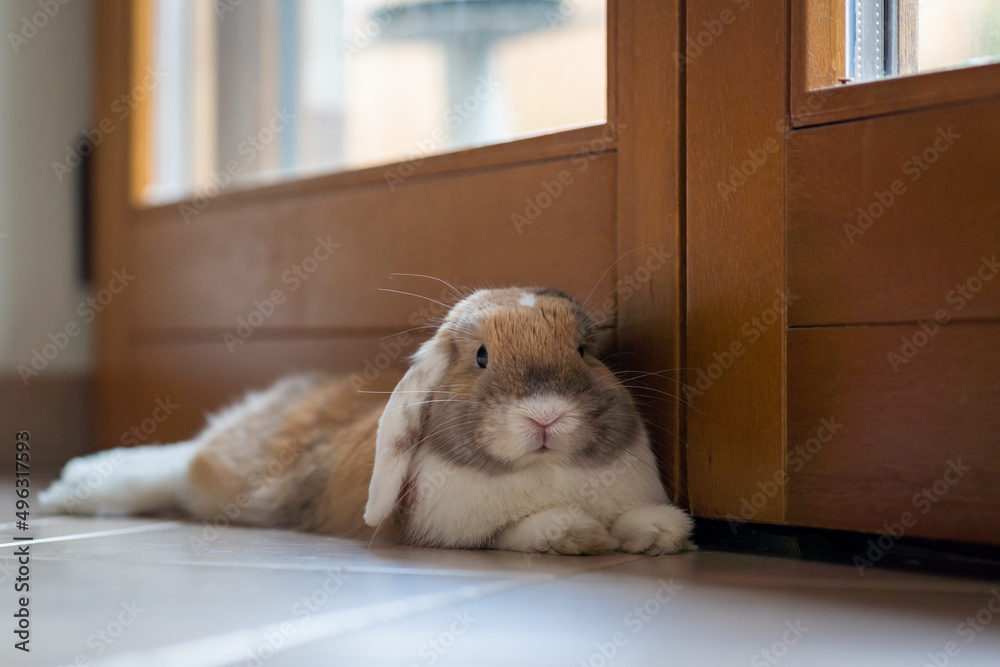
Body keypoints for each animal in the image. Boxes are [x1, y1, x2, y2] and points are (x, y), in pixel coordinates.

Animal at [40, 287, 693, 555]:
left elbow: (641, 520)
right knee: (176, 469)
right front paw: (574, 533)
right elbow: (519, 529)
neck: (546, 468)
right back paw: (71, 487)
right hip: (217, 476)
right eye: (481, 357)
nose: (545, 415)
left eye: (584, 351)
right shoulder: (451, 527)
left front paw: (659, 532)